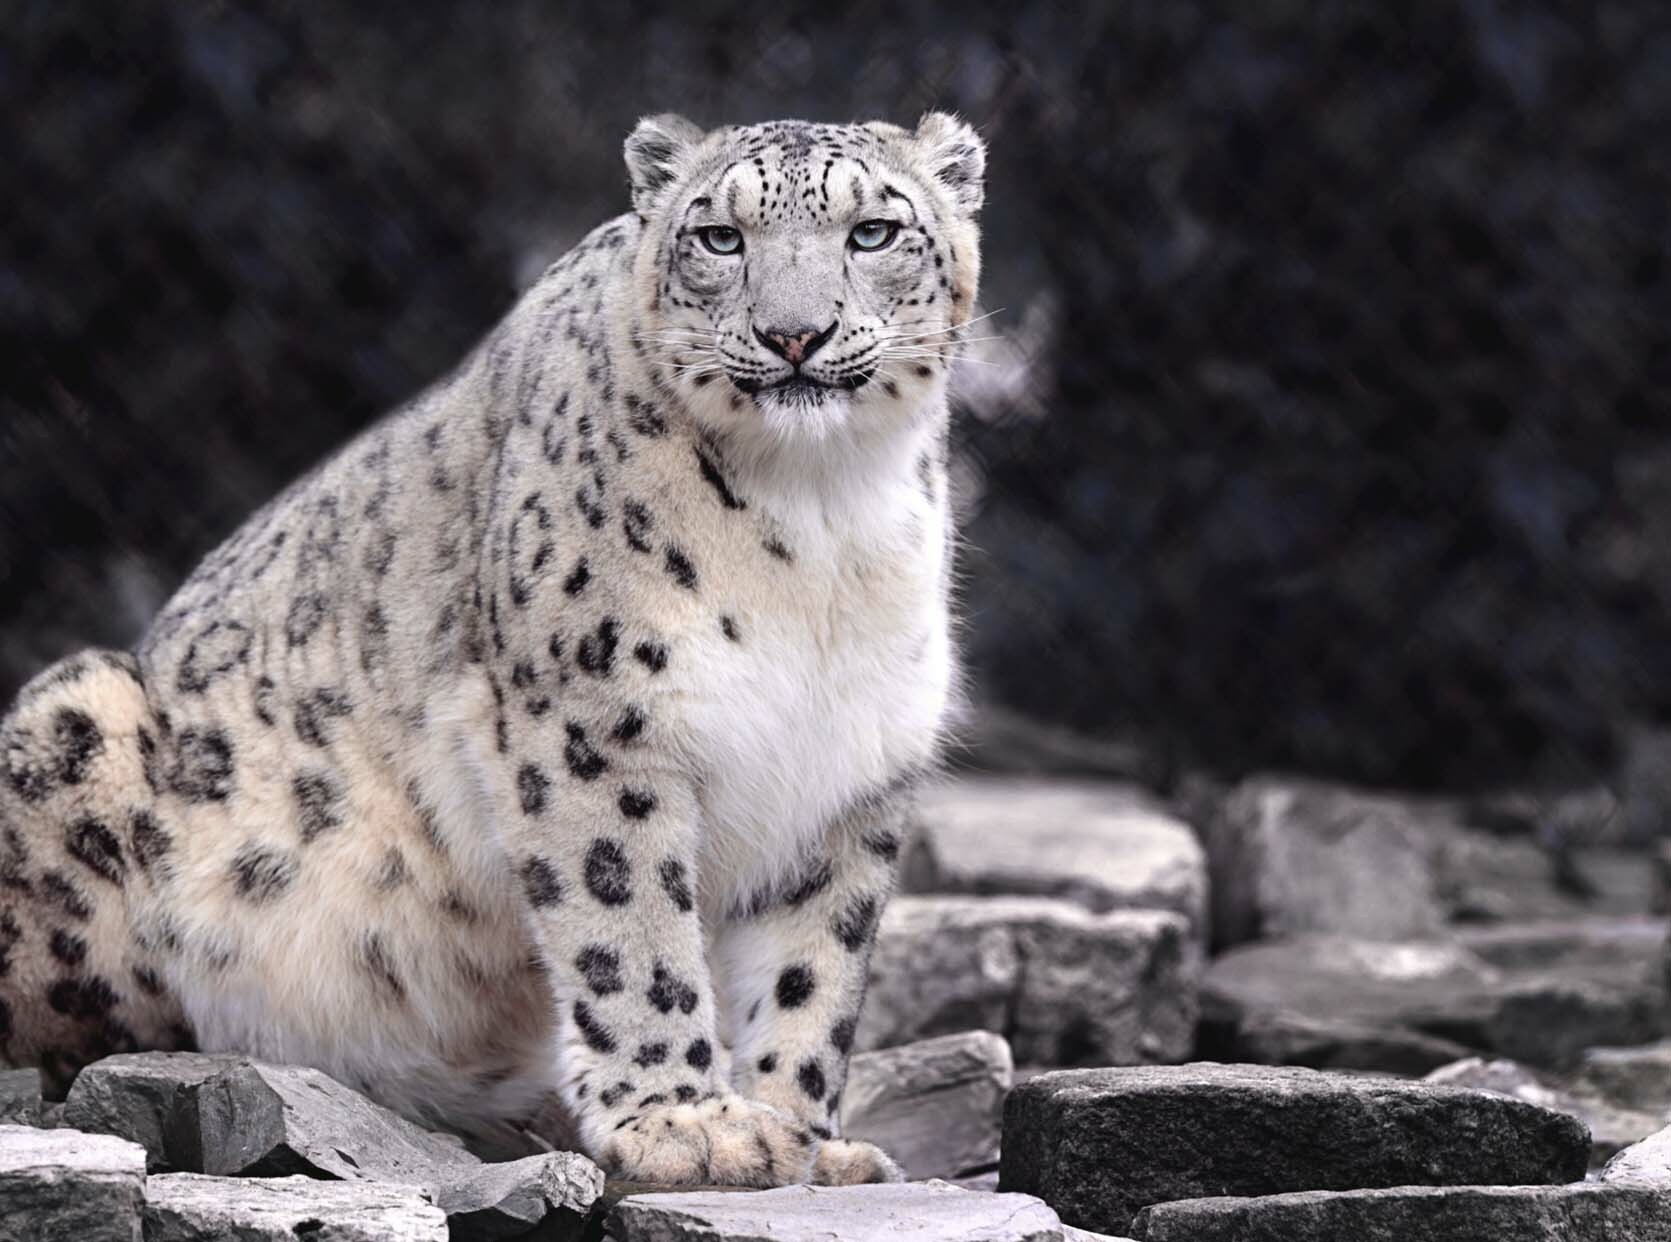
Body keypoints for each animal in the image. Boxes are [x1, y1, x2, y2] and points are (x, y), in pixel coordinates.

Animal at [0, 111, 985, 1188]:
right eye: (721, 238)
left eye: (873, 233)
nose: (792, 335)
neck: (821, 519)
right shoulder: (595, 719)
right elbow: (631, 925)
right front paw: (687, 1124)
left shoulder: (851, 770)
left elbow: (814, 974)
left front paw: (805, 1139)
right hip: (80, 727)